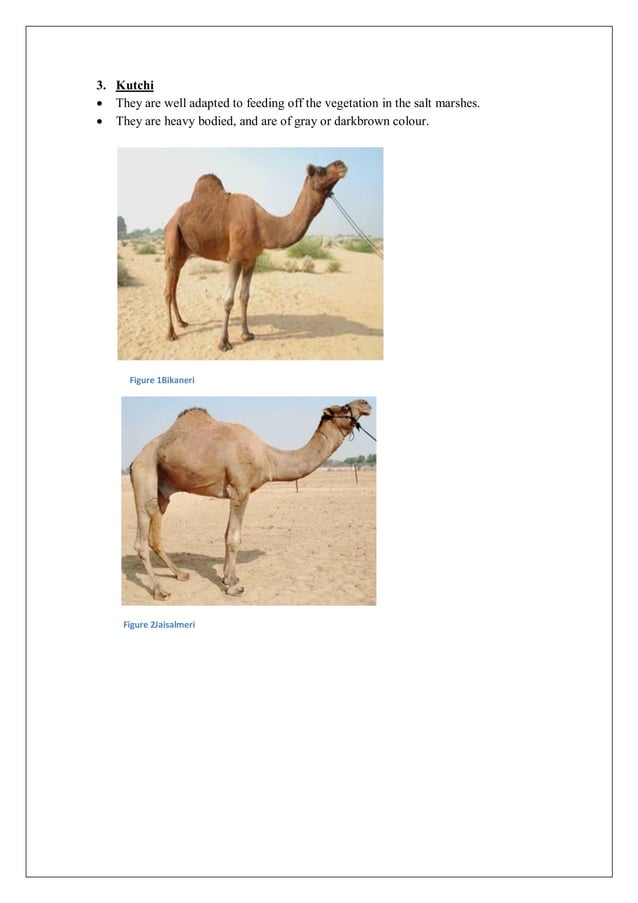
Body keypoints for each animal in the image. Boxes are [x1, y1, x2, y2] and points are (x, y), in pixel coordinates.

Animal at [129, 399, 371, 600]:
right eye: (344, 407)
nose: (366, 403)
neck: (268, 457)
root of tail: (134, 460)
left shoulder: (237, 492)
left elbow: (227, 534)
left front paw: (229, 578)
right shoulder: (240, 490)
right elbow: (234, 538)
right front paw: (233, 587)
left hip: (163, 488)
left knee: (156, 526)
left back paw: (180, 574)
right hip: (145, 471)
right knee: (143, 524)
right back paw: (159, 590)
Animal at [163, 159, 348, 351]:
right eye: (320, 170)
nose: (341, 164)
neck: (262, 225)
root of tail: (170, 219)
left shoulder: (251, 259)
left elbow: (244, 297)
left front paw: (246, 334)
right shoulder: (235, 258)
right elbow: (228, 300)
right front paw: (224, 342)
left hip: (183, 252)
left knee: (174, 287)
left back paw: (182, 322)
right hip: (172, 235)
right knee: (168, 290)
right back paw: (171, 333)